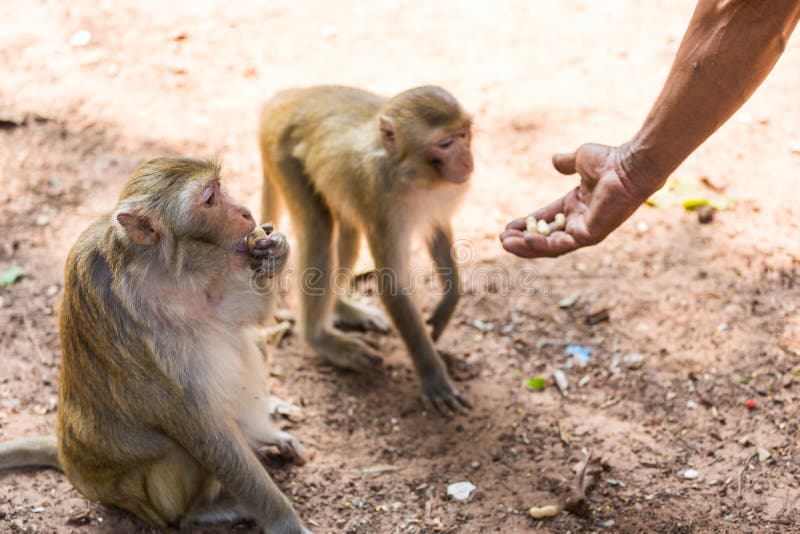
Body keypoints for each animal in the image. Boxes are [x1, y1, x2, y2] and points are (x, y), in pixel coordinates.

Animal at [0, 157, 311, 533]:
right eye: (209, 199)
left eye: (219, 189)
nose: (246, 212)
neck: (164, 273)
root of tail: (67, 458)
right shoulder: (142, 341)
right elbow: (205, 431)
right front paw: (286, 522)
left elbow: (240, 315)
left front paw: (276, 249)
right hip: (150, 500)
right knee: (176, 460)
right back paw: (205, 510)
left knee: (242, 341)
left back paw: (265, 433)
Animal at [259, 85, 474, 414]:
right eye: (446, 143)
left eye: (463, 135)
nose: (467, 159)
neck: (409, 174)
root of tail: (283, 99)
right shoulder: (380, 199)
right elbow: (393, 284)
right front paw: (433, 376)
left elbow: (437, 230)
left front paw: (446, 306)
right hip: (283, 157)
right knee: (319, 231)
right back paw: (321, 339)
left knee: (347, 234)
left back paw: (342, 308)